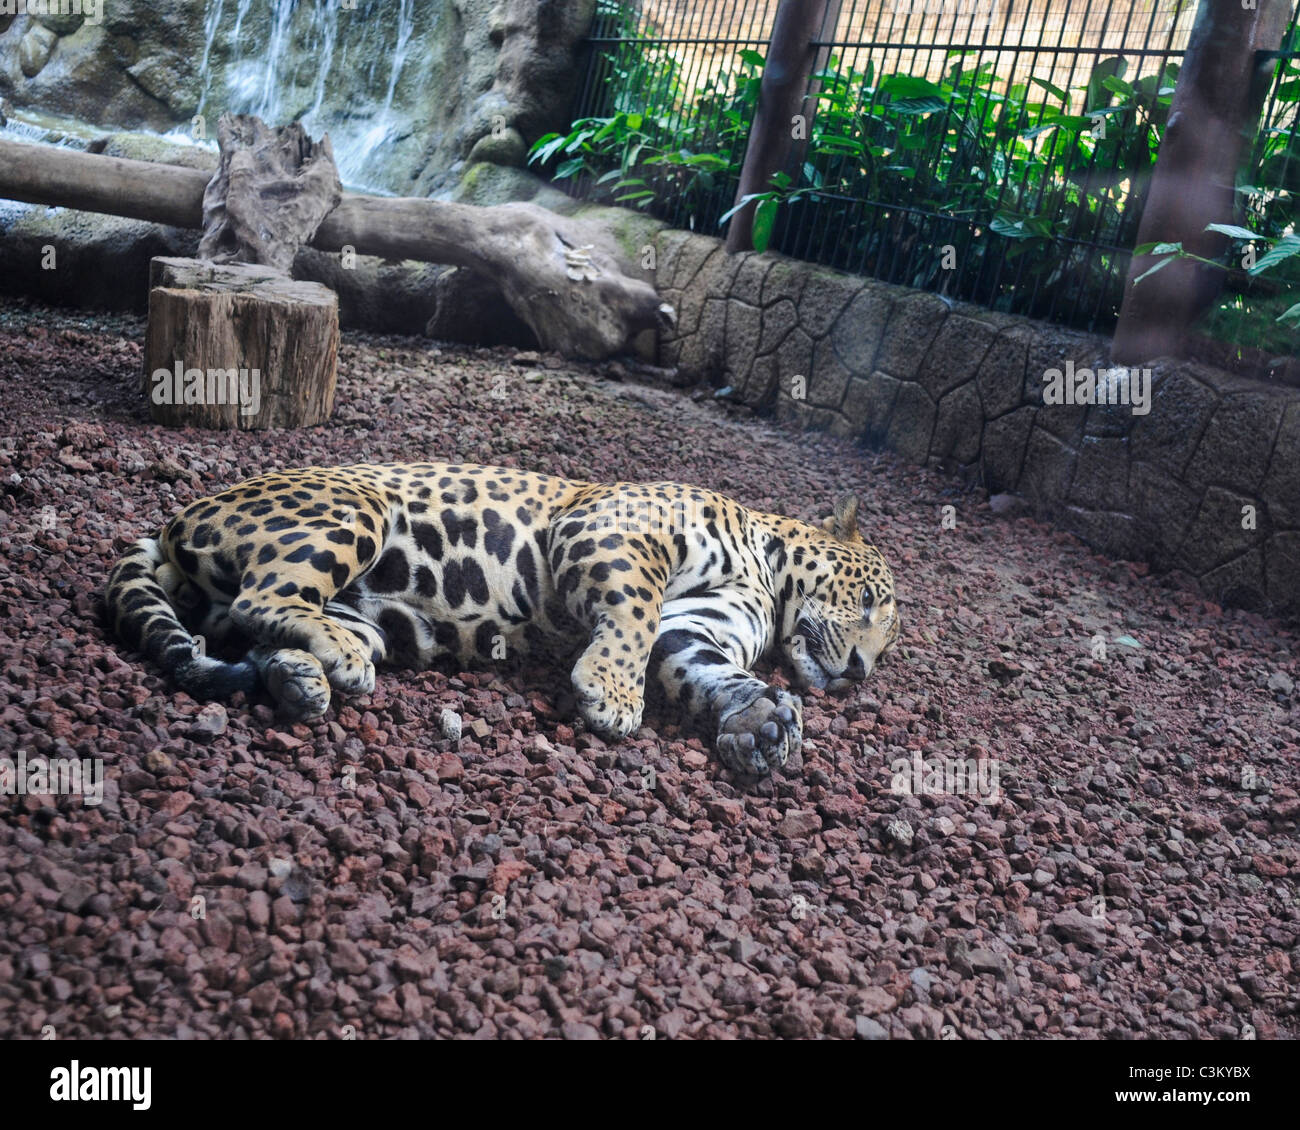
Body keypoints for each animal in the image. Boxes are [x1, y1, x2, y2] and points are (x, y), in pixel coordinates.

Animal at [104, 463, 900, 776]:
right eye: (869, 603)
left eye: (886, 648)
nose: (862, 670)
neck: (768, 571)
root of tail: (179, 515)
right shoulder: (612, 529)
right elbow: (636, 617)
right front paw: (613, 695)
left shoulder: (699, 628)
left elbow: (701, 665)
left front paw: (761, 721)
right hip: (351, 510)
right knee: (260, 599)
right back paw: (326, 662)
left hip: (368, 615)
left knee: (255, 627)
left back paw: (302, 676)